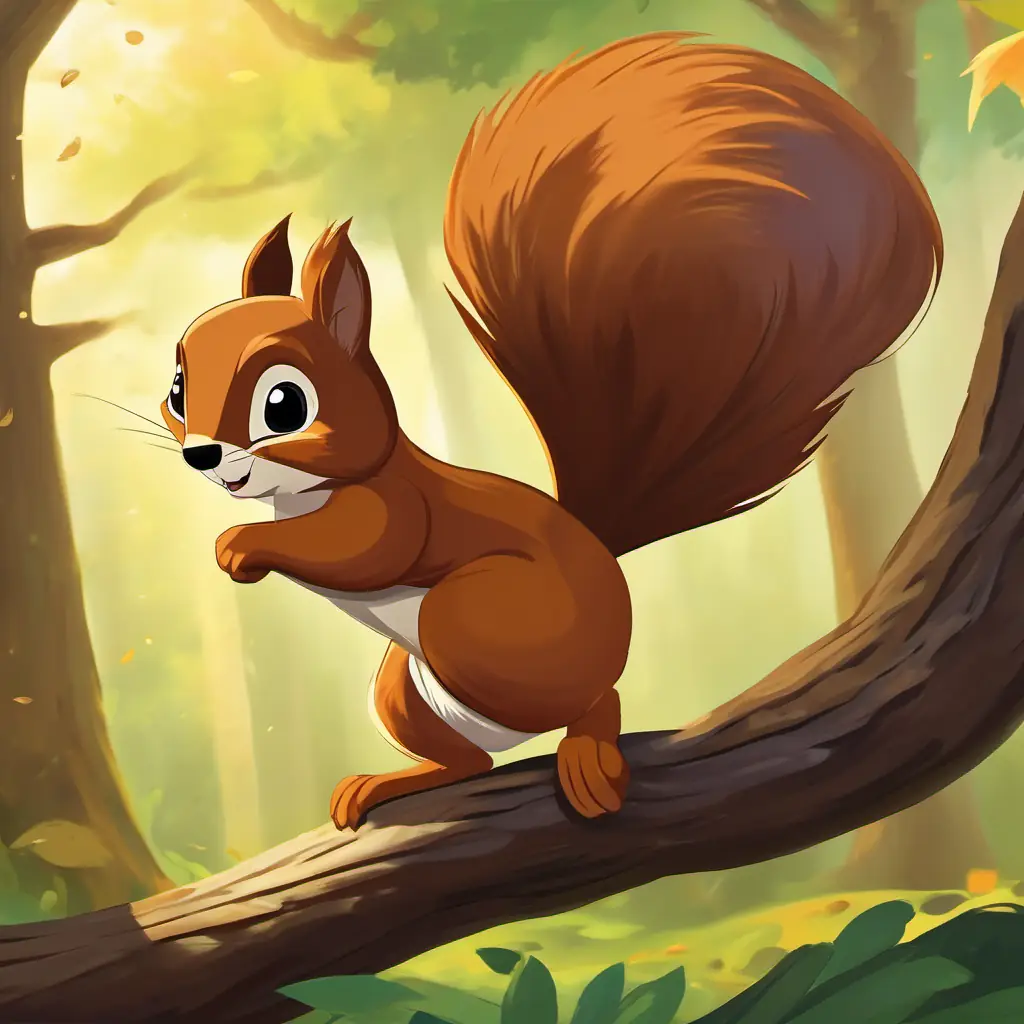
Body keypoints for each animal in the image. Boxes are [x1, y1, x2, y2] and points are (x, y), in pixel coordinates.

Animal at [160, 32, 942, 831]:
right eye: (179, 389)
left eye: (285, 404)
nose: (203, 455)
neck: (304, 491)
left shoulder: (402, 507)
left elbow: (365, 548)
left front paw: (241, 546)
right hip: (404, 686)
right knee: (470, 761)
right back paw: (391, 783)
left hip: (479, 624)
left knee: (597, 701)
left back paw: (588, 752)